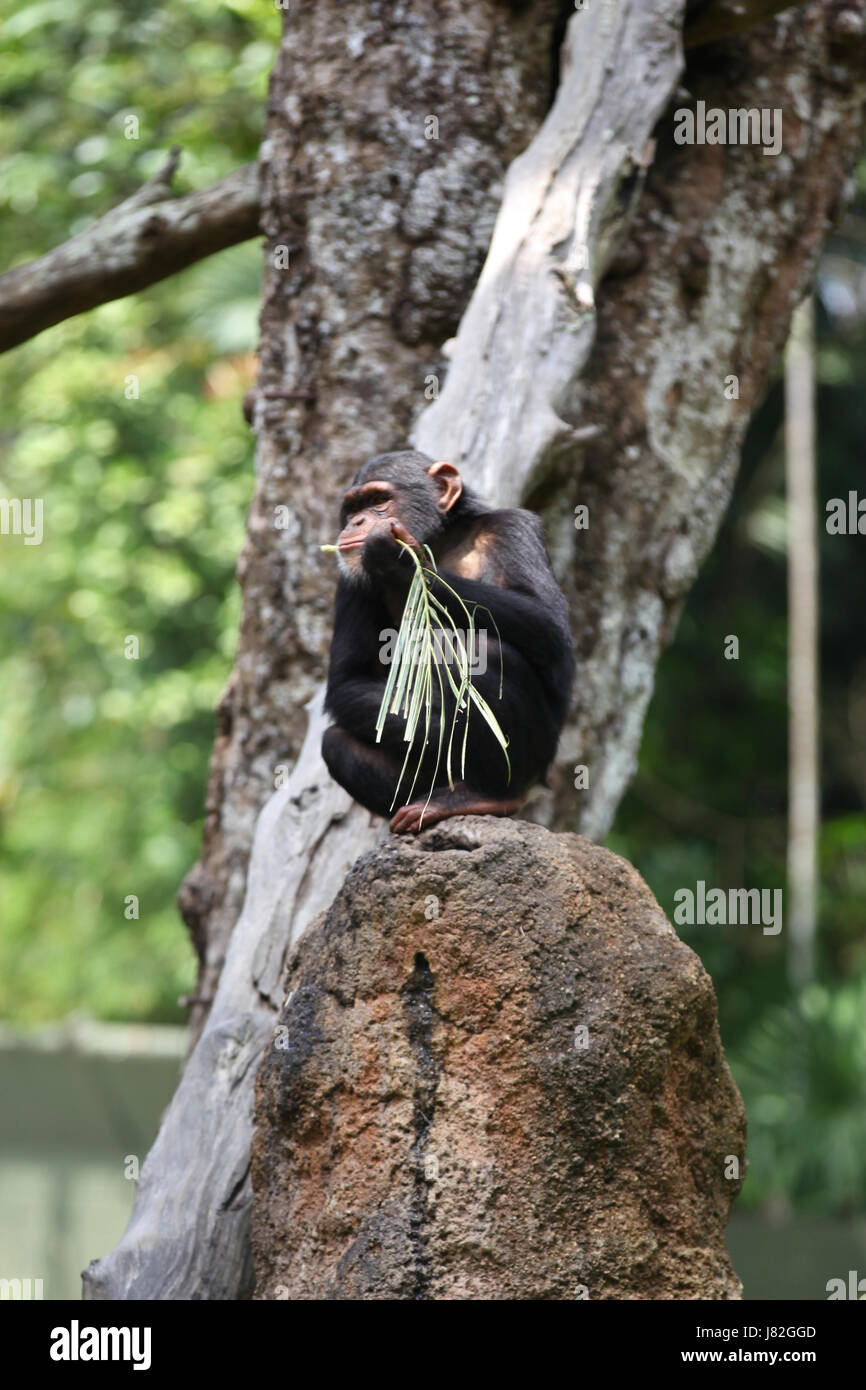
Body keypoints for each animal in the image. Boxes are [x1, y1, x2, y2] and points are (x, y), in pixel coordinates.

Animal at [321, 449, 574, 833]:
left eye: (379, 500)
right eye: (352, 508)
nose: (357, 522)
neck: (442, 541)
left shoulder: (514, 528)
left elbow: (551, 630)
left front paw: (401, 561)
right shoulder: (349, 580)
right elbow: (349, 679)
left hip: (537, 758)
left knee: (475, 650)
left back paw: (489, 795)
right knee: (335, 744)